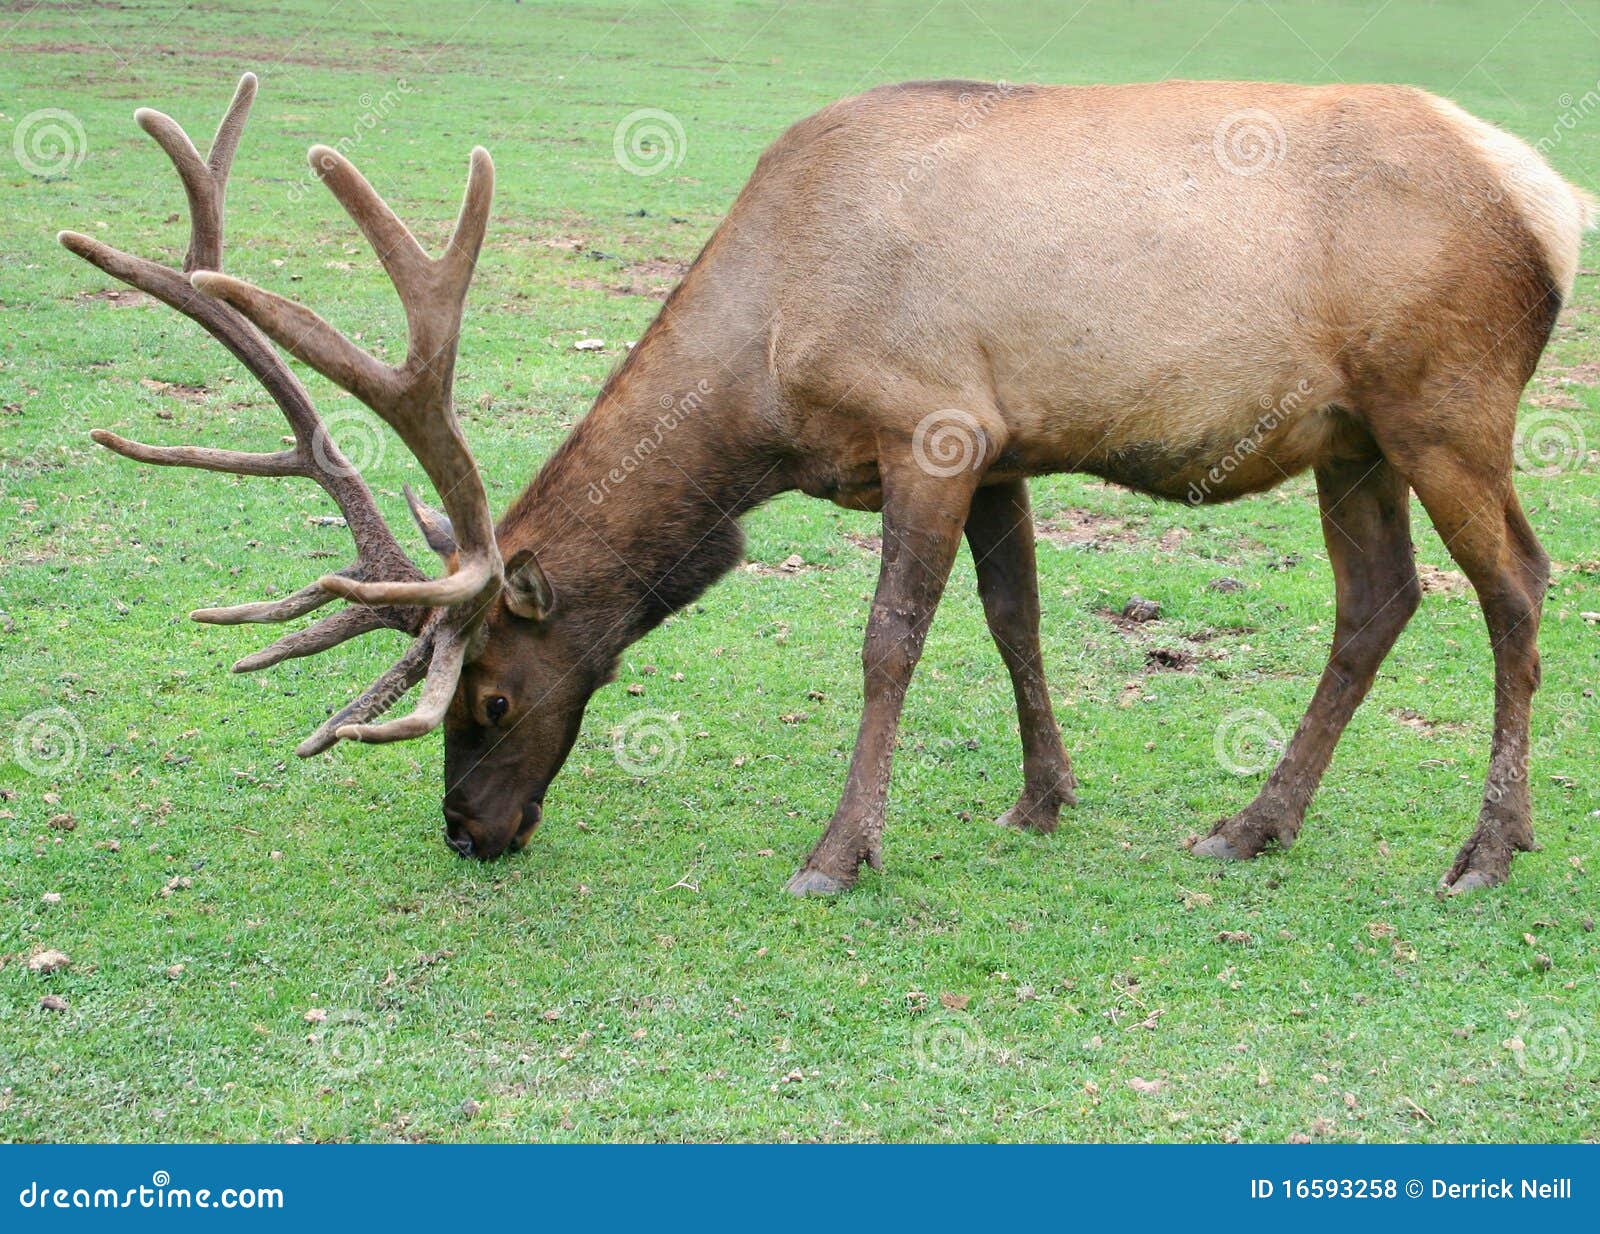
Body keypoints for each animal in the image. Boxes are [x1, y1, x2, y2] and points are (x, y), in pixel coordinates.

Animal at [62, 74, 1593, 897]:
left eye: (488, 696)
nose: (470, 834)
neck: (771, 384)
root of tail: (1544, 197)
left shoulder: (932, 424)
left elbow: (891, 641)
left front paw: (839, 849)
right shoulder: (1000, 438)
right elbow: (1015, 619)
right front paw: (1043, 797)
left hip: (1446, 400)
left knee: (1516, 586)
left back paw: (1486, 848)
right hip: (1351, 435)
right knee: (1376, 601)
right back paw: (1255, 823)